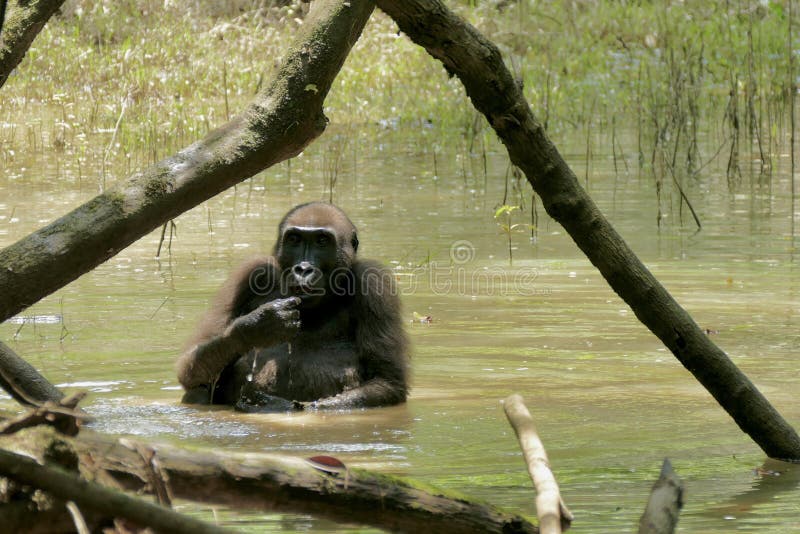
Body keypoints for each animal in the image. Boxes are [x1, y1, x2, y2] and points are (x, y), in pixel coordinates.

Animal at [176, 202, 409, 411]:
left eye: (322, 241)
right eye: (295, 240)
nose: (303, 269)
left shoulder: (373, 283)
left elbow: (387, 381)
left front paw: (280, 405)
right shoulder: (250, 272)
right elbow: (190, 365)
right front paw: (256, 326)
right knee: (197, 389)